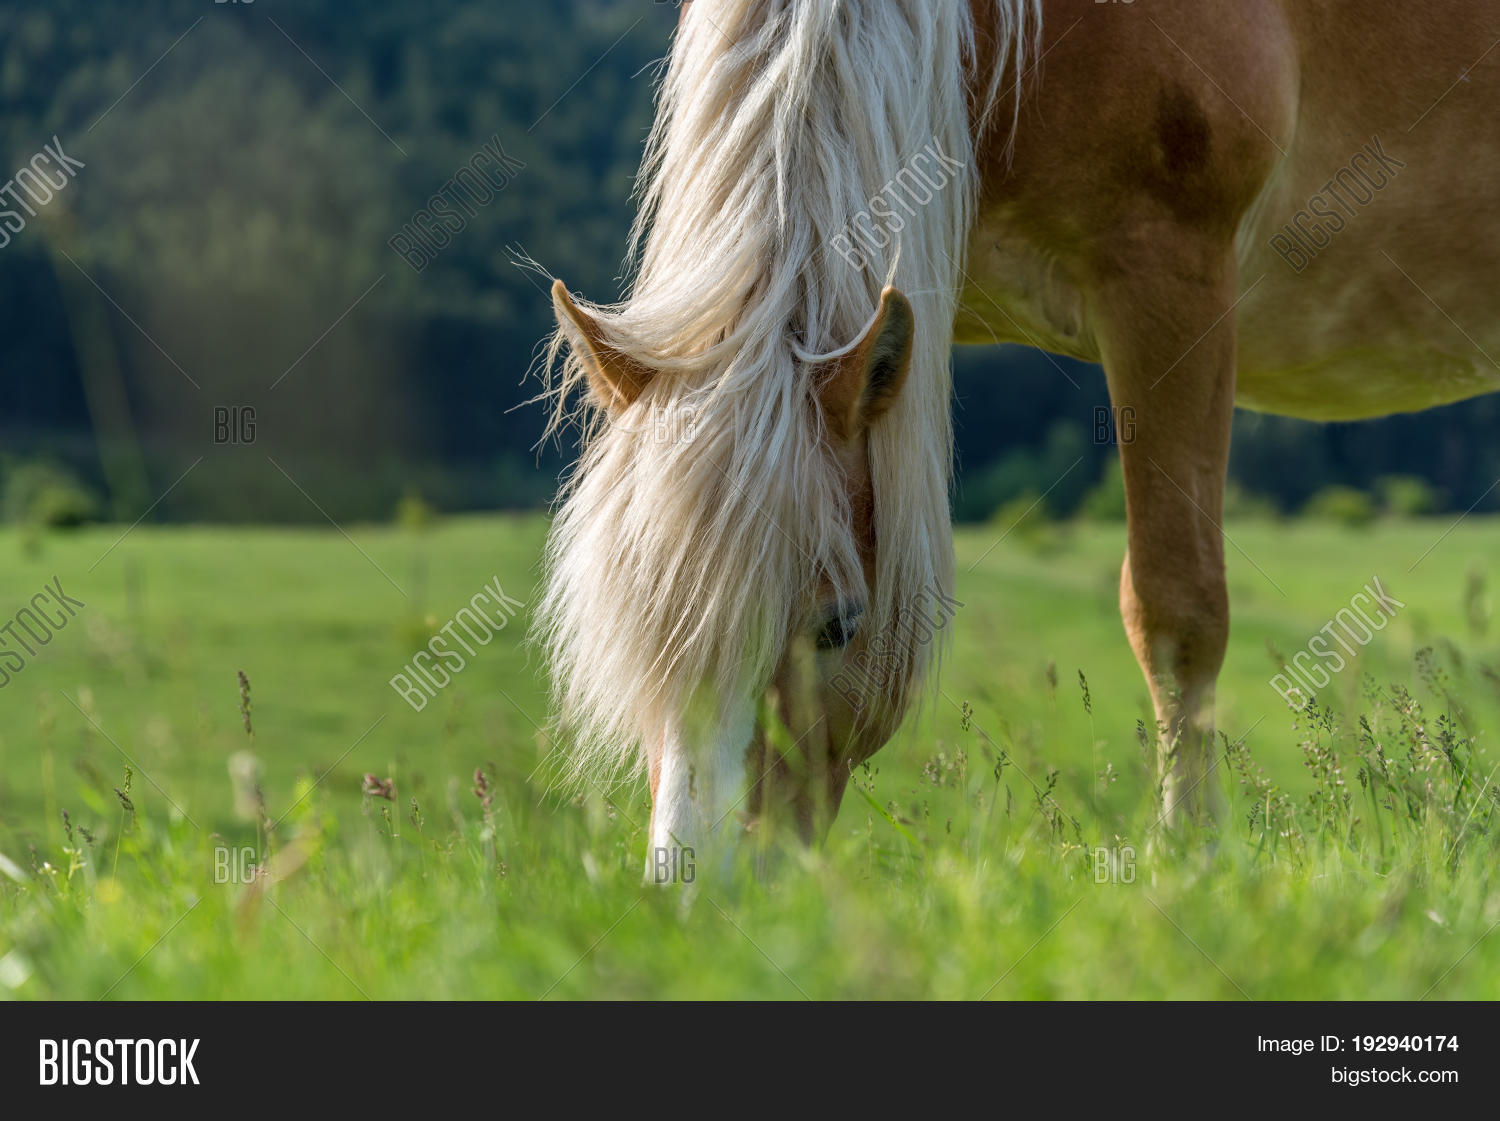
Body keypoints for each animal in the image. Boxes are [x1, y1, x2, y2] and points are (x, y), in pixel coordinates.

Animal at [540, 0, 1500, 876]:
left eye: (839, 625)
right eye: (633, 616)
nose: (701, 892)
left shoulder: (1170, 276)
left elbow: (1176, 606)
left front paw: (1190, 856)